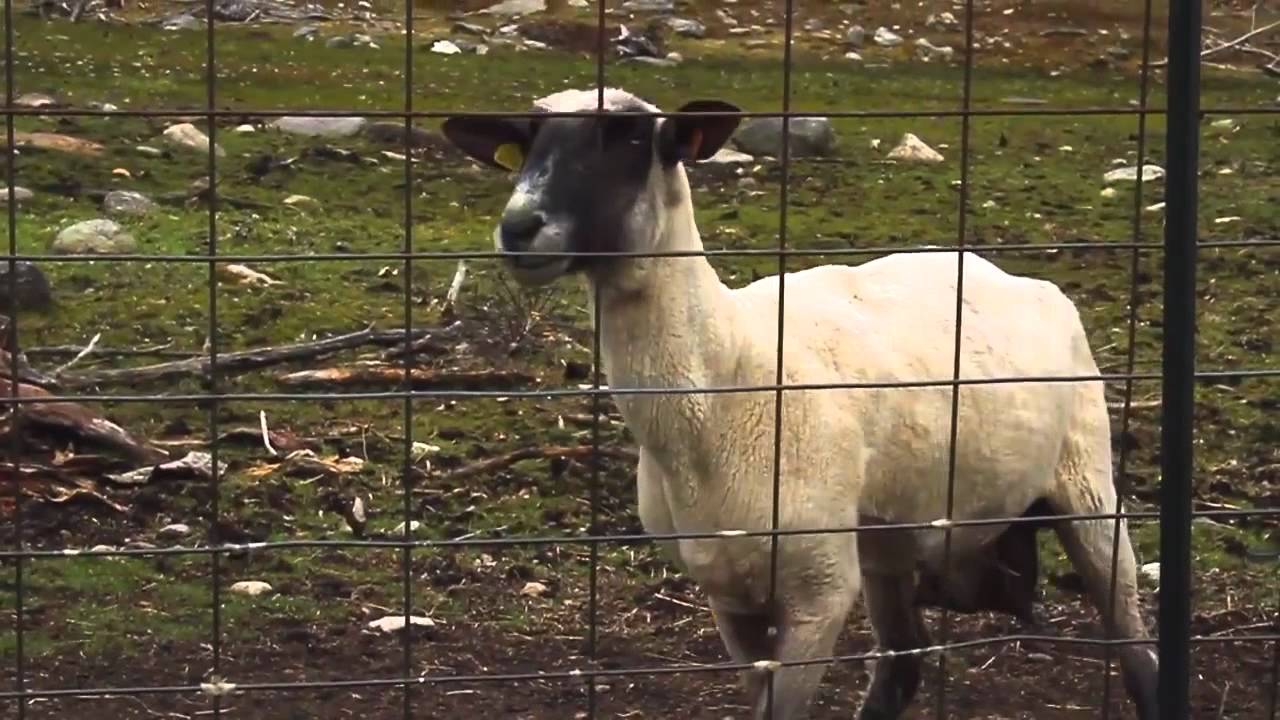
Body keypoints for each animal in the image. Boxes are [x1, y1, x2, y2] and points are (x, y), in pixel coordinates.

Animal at [440, 87, 1159, 720]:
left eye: (633, 140)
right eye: (525, 144)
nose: (519, 227)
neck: (723, 381)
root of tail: (1017, 275)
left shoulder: (818, 590)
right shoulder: (727, 595)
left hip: (1086, 481)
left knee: (1135, 648)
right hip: (887, 537)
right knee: (902, 667)